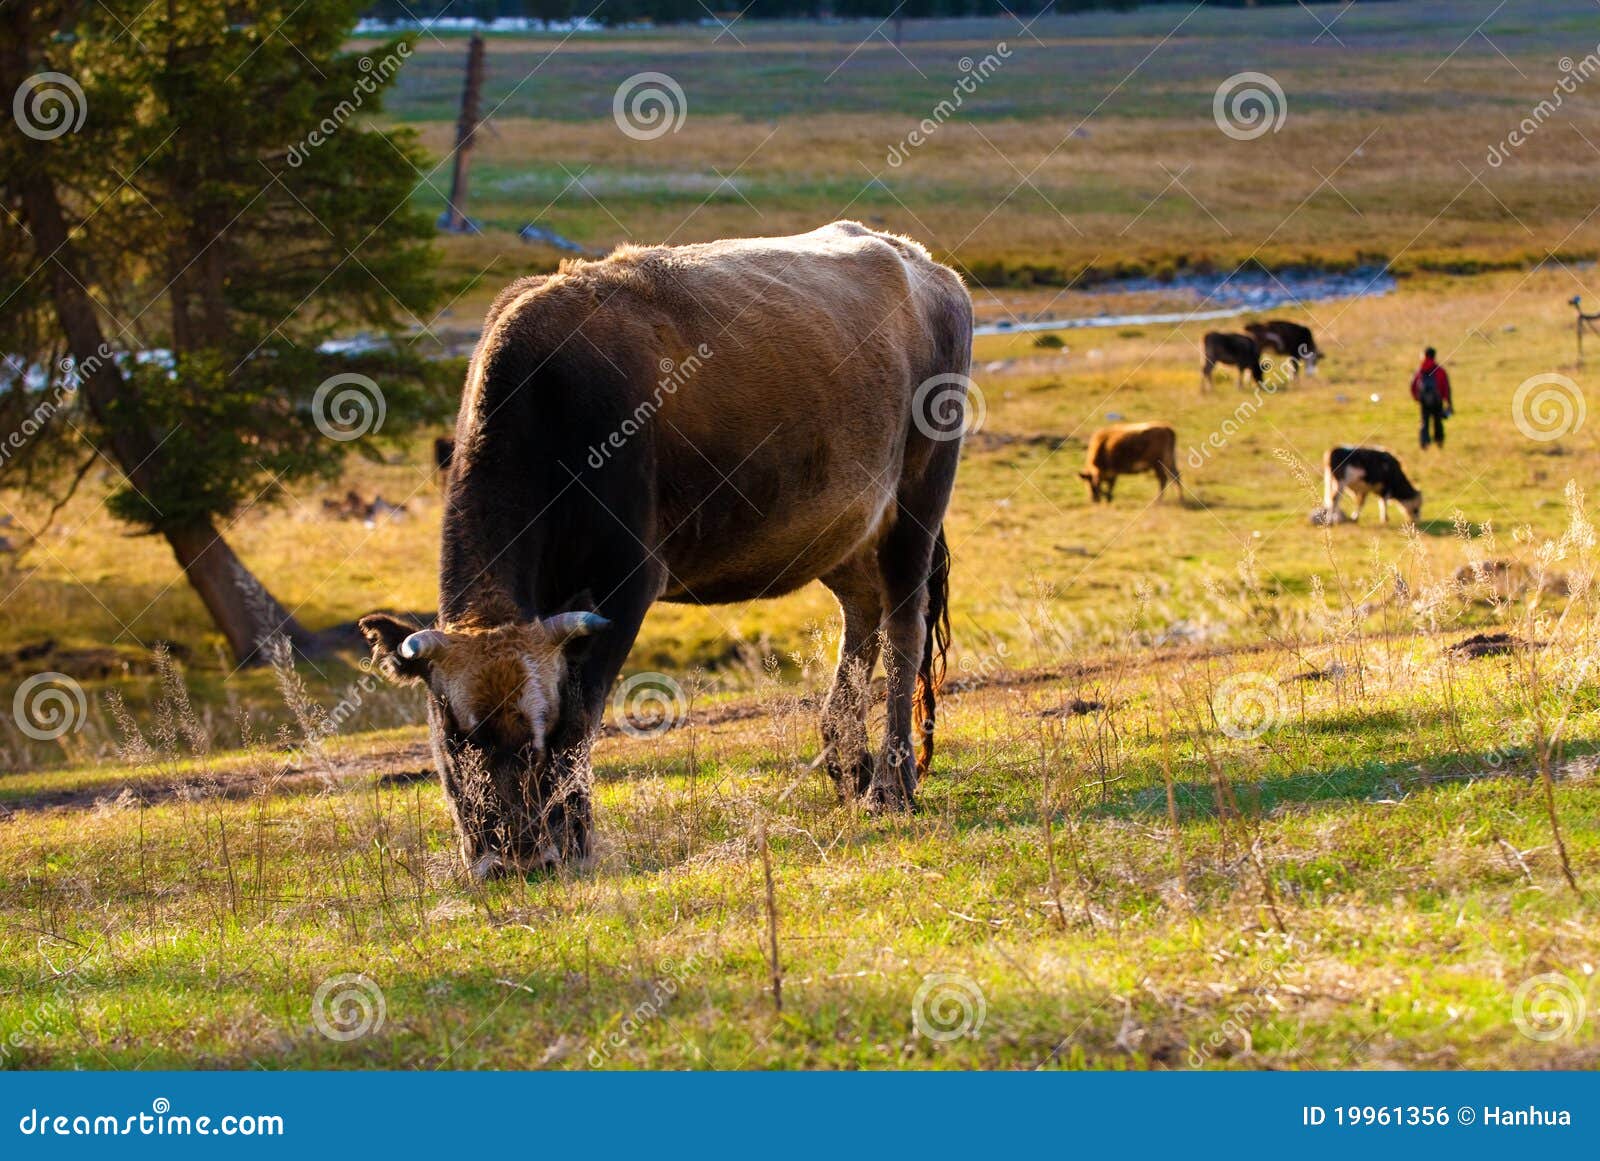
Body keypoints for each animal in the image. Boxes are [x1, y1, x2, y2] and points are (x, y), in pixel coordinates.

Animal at [359, 222, 972, 879]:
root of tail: (919, 259)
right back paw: (848, 766)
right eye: (455, 735)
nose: (515, 860)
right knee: (863, 610)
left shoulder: (625, 583)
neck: (550, 405)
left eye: (536, 735)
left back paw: (891, 786)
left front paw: (576, 842)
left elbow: (581, 716)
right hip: (844, 528)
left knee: (904, 625)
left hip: (918, 500)